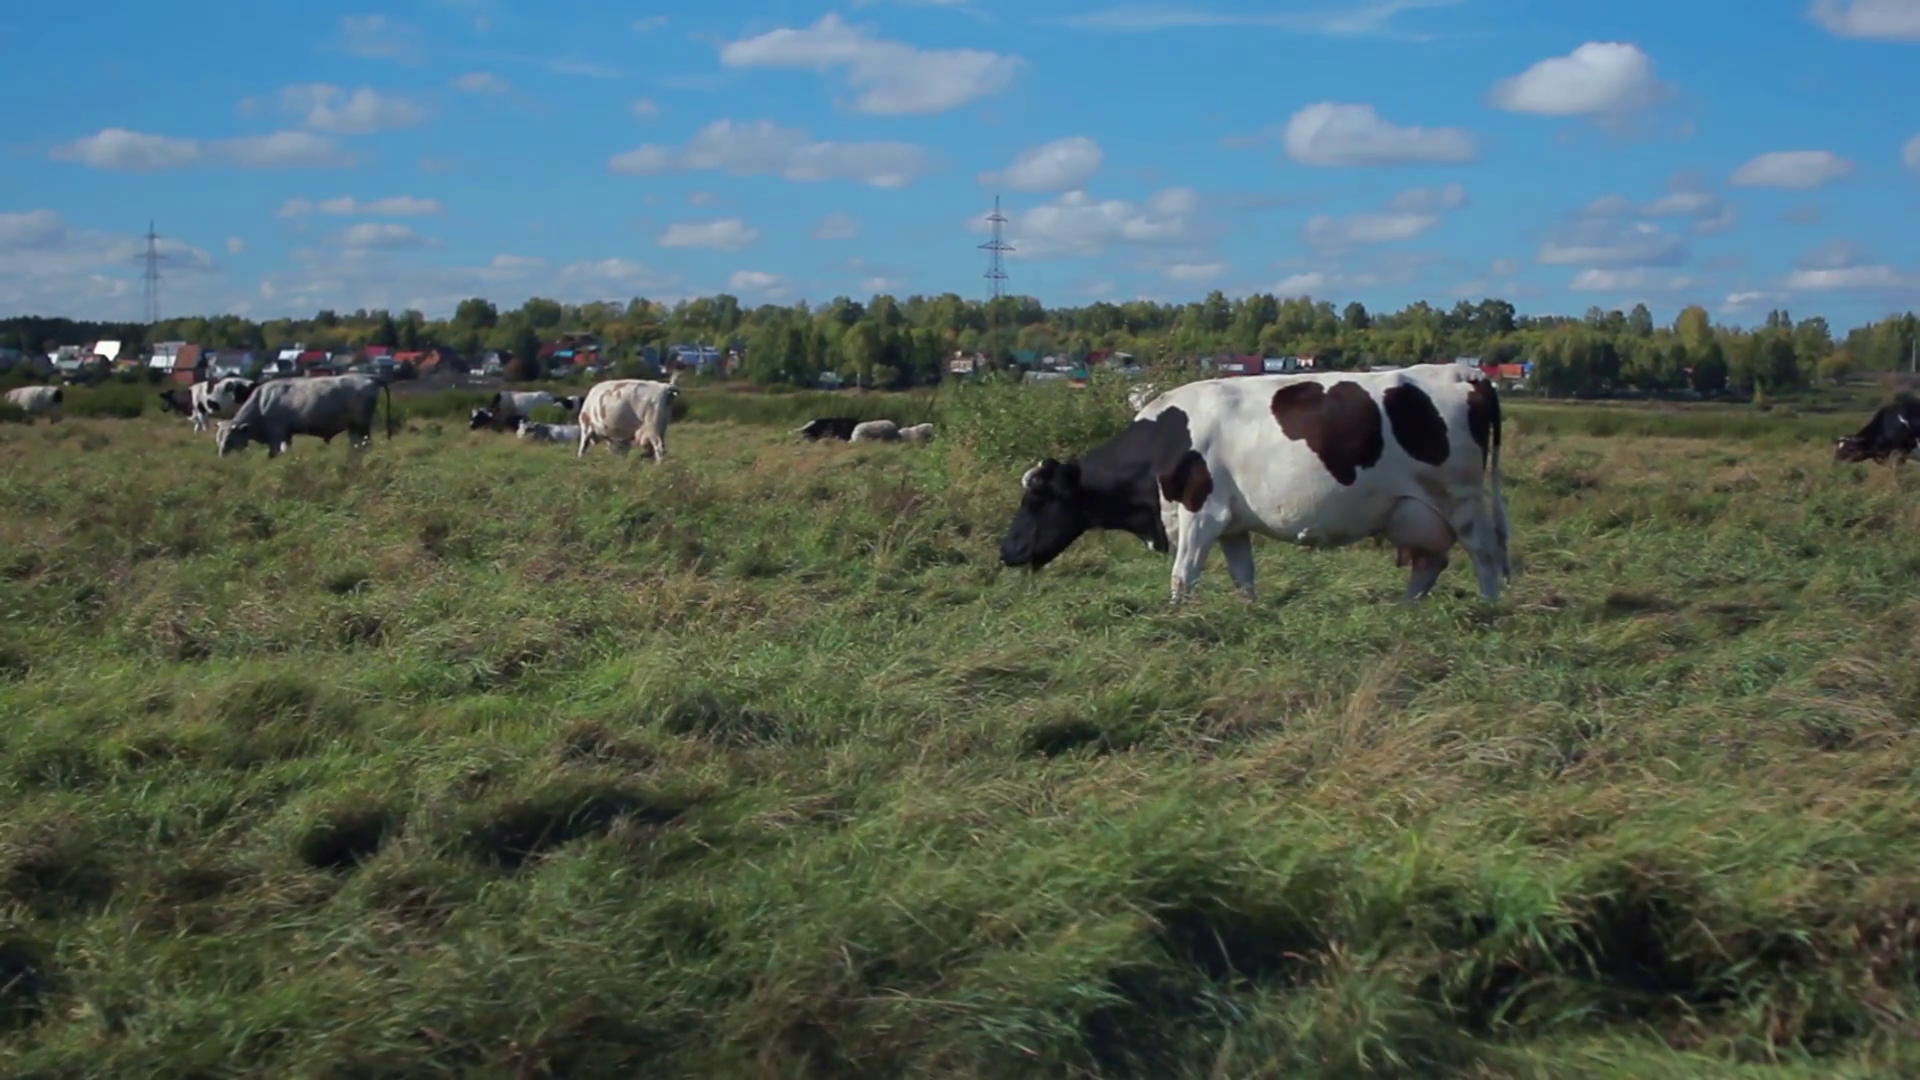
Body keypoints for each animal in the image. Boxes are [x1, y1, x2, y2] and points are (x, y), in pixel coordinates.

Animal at [215, 373, 394, 458]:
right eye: (218, 438)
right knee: (357, 446)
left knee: (365, 445)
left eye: (229, 438)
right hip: (354, 428)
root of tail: (368, 376)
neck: (261, 402)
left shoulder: (276, 433)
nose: (222, 456)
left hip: (361, 426)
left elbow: (273, 454)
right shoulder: (286, 435)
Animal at [998, 364, 1511, 606]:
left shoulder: (1200, 513)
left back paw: (1487, 611)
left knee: (1485, 555)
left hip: (1462, 500)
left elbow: (1182, 577)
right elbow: (1244, 579)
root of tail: (1465, 371)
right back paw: (1404, 611)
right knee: (1430, 563)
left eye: (1038, 497)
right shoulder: (1232, 525)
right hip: (1415, 510)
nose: (1007, 551)